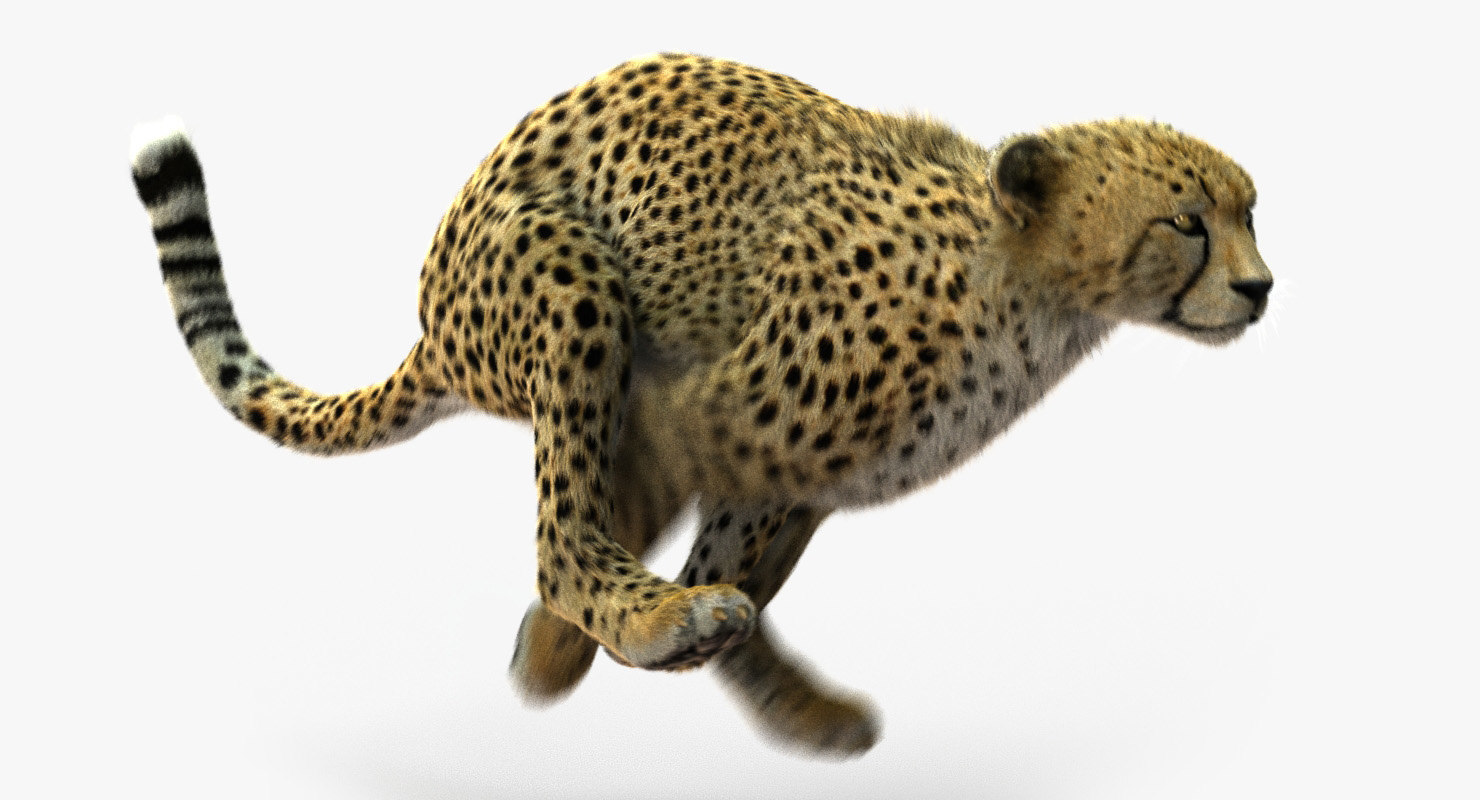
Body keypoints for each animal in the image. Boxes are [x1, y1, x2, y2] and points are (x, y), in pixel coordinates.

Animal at [131, 53, 1273, 757]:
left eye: (1250, 212)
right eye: (1185, 220)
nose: (1261, 286)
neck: (1030, 290)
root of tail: (435, 316)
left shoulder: (783, 478)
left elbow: (735, 567)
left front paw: (775, 695)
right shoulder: (681, 421)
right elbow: (618, 540)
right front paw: (573, 648)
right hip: (566, 273)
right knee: (561, 530)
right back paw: (639, 624)